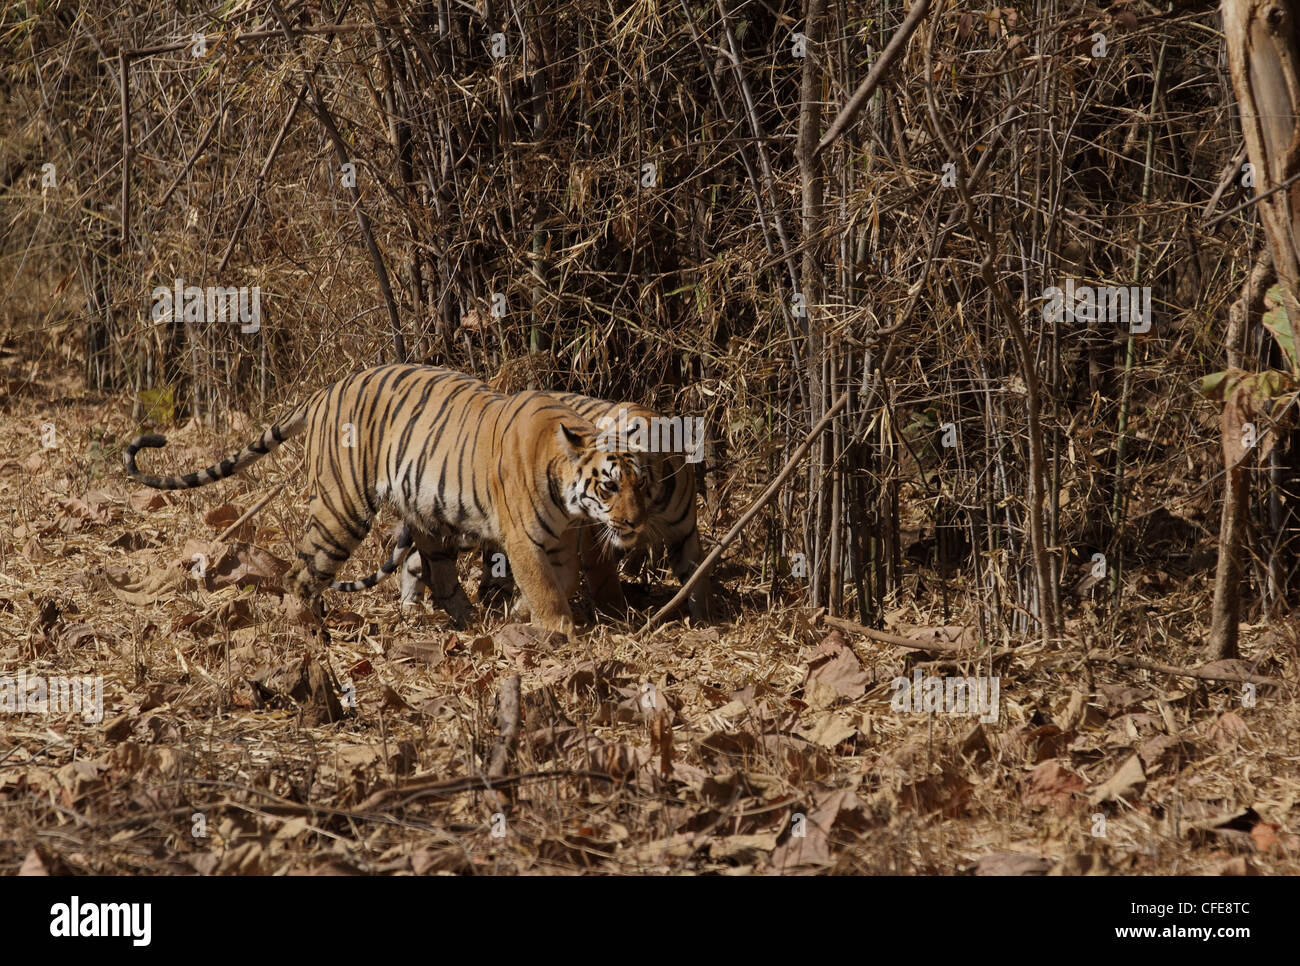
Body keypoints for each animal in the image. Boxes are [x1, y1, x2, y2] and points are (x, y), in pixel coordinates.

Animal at [123, 364, 650, 636]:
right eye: (609, 486)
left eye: (640, 485)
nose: (635, 524)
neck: (567, 497)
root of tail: (325, 391)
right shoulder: (523, 540)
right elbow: (545, 590)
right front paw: (562, 635)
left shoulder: (559, 540)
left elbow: (560, 581)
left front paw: (524, 618)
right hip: (342, 508)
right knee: (301, 574)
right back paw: (313, 635)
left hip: (426, 514)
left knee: (439, 575)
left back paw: (466, 622)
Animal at [342, 393, 714, 623]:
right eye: (609, 487)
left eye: (640, 484)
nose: (632, 521)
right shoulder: (593, 536)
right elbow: (601, 575)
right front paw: (615, 612)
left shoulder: (685, 532)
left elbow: (697, 575)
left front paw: (705, 615)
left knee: (419, 558)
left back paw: (412, 607)